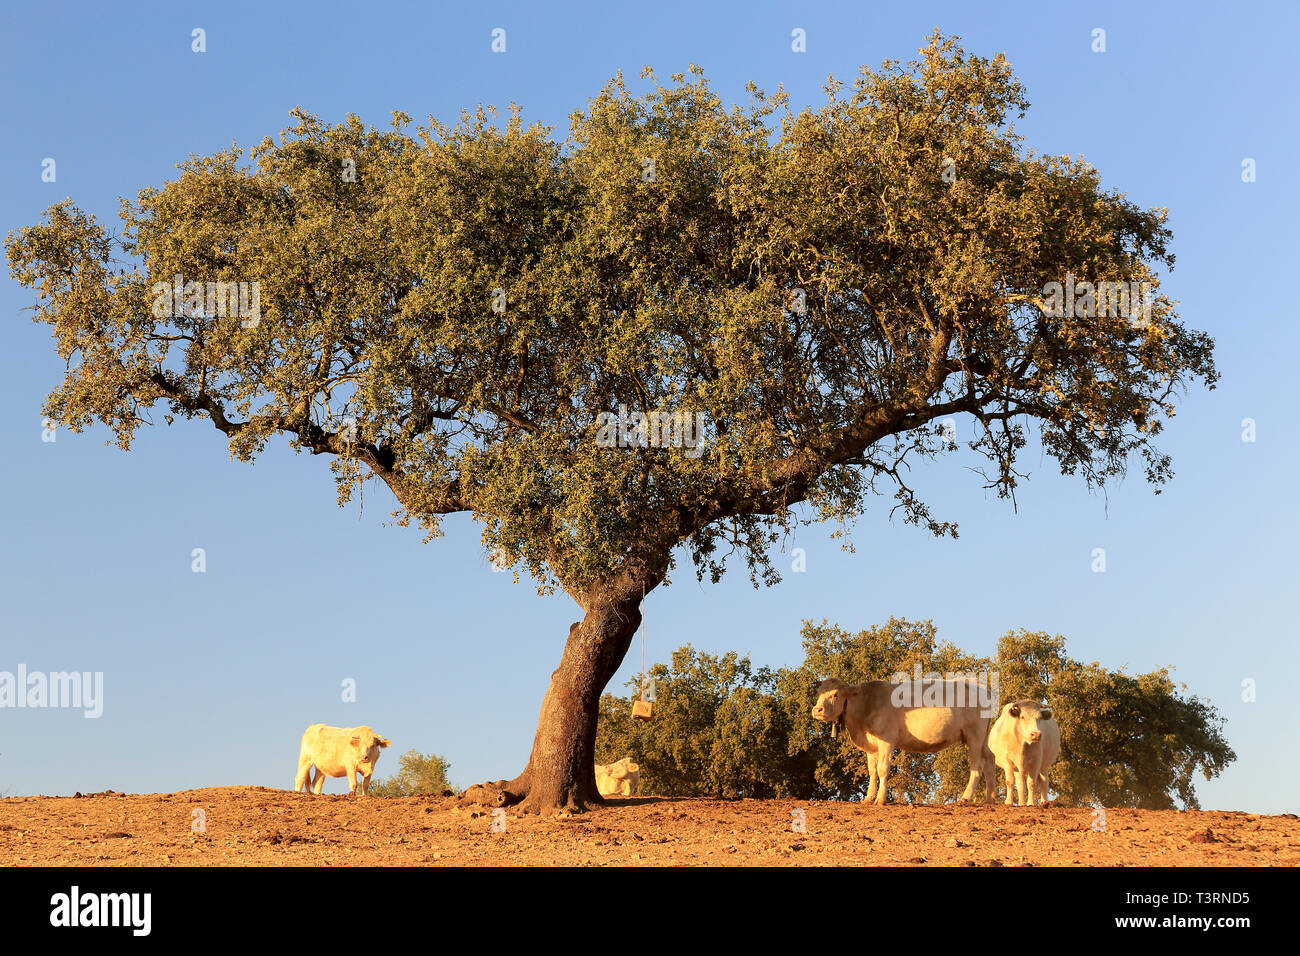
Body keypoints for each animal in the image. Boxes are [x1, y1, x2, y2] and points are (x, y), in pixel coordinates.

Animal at [811, 676, 995, 805]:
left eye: (836, 695)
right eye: (818, 693)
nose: (817, 709)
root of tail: (980, 687)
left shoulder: (886, 740)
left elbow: (882, 769)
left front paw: (880, 800)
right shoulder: (871, 747)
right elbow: (872, 771)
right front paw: (869, 798)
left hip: (975, 735)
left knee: (977, 767)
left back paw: (966, 798)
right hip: (983, 739)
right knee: (989, 761)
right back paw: (989, 799)